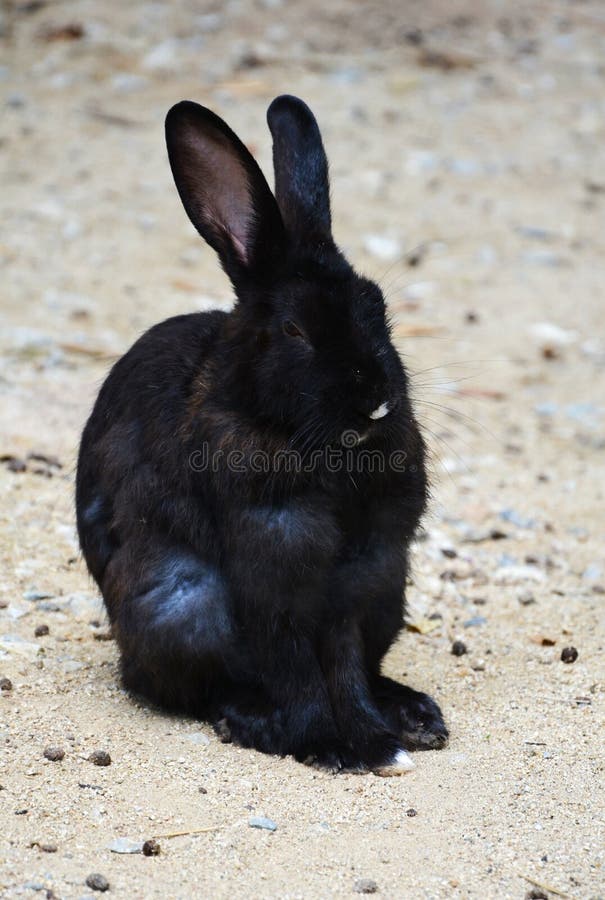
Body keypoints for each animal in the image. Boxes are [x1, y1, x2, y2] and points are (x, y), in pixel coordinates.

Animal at [76, 95, 448, 774]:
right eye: (295, 331)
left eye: (377, 307)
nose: (377, 402)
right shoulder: (275, 570)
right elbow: (296, 670)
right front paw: (333, 746)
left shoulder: (357, 582)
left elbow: (345, 668)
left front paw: (372, 739)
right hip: (180, 606)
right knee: (187, 687)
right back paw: (250, 720)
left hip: (391, 591)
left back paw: (414, 715)